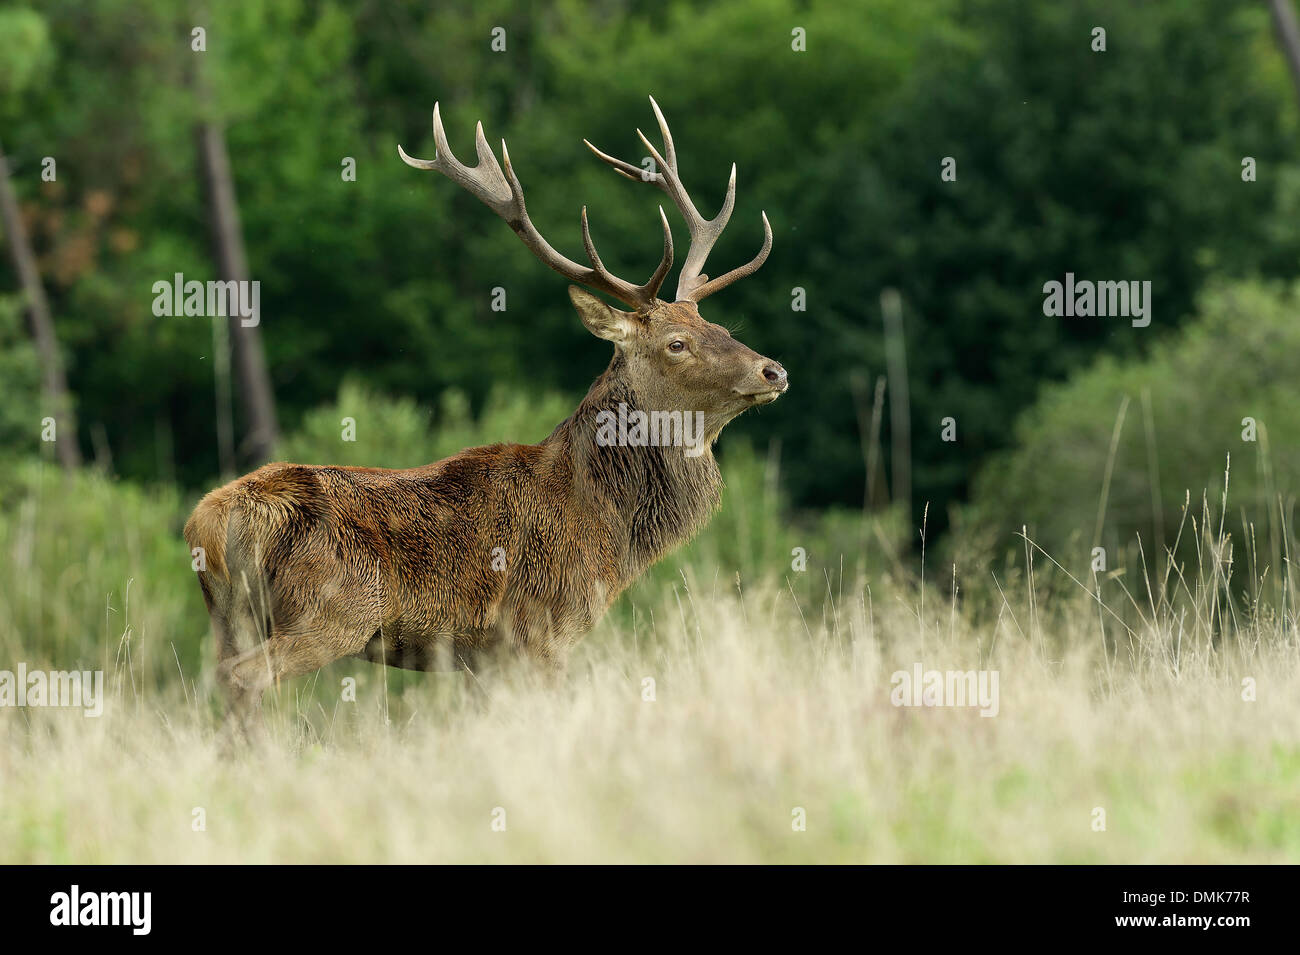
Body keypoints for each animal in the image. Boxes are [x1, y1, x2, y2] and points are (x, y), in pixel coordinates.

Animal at [184, 96, 788, 739]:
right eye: (677, 343)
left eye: (721, 327)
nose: (773, 370)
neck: (603, 527)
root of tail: (208, 522)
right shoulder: (541, 630)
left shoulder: (481, 658)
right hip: (332, 610)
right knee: (247, 678)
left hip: (228, 617)